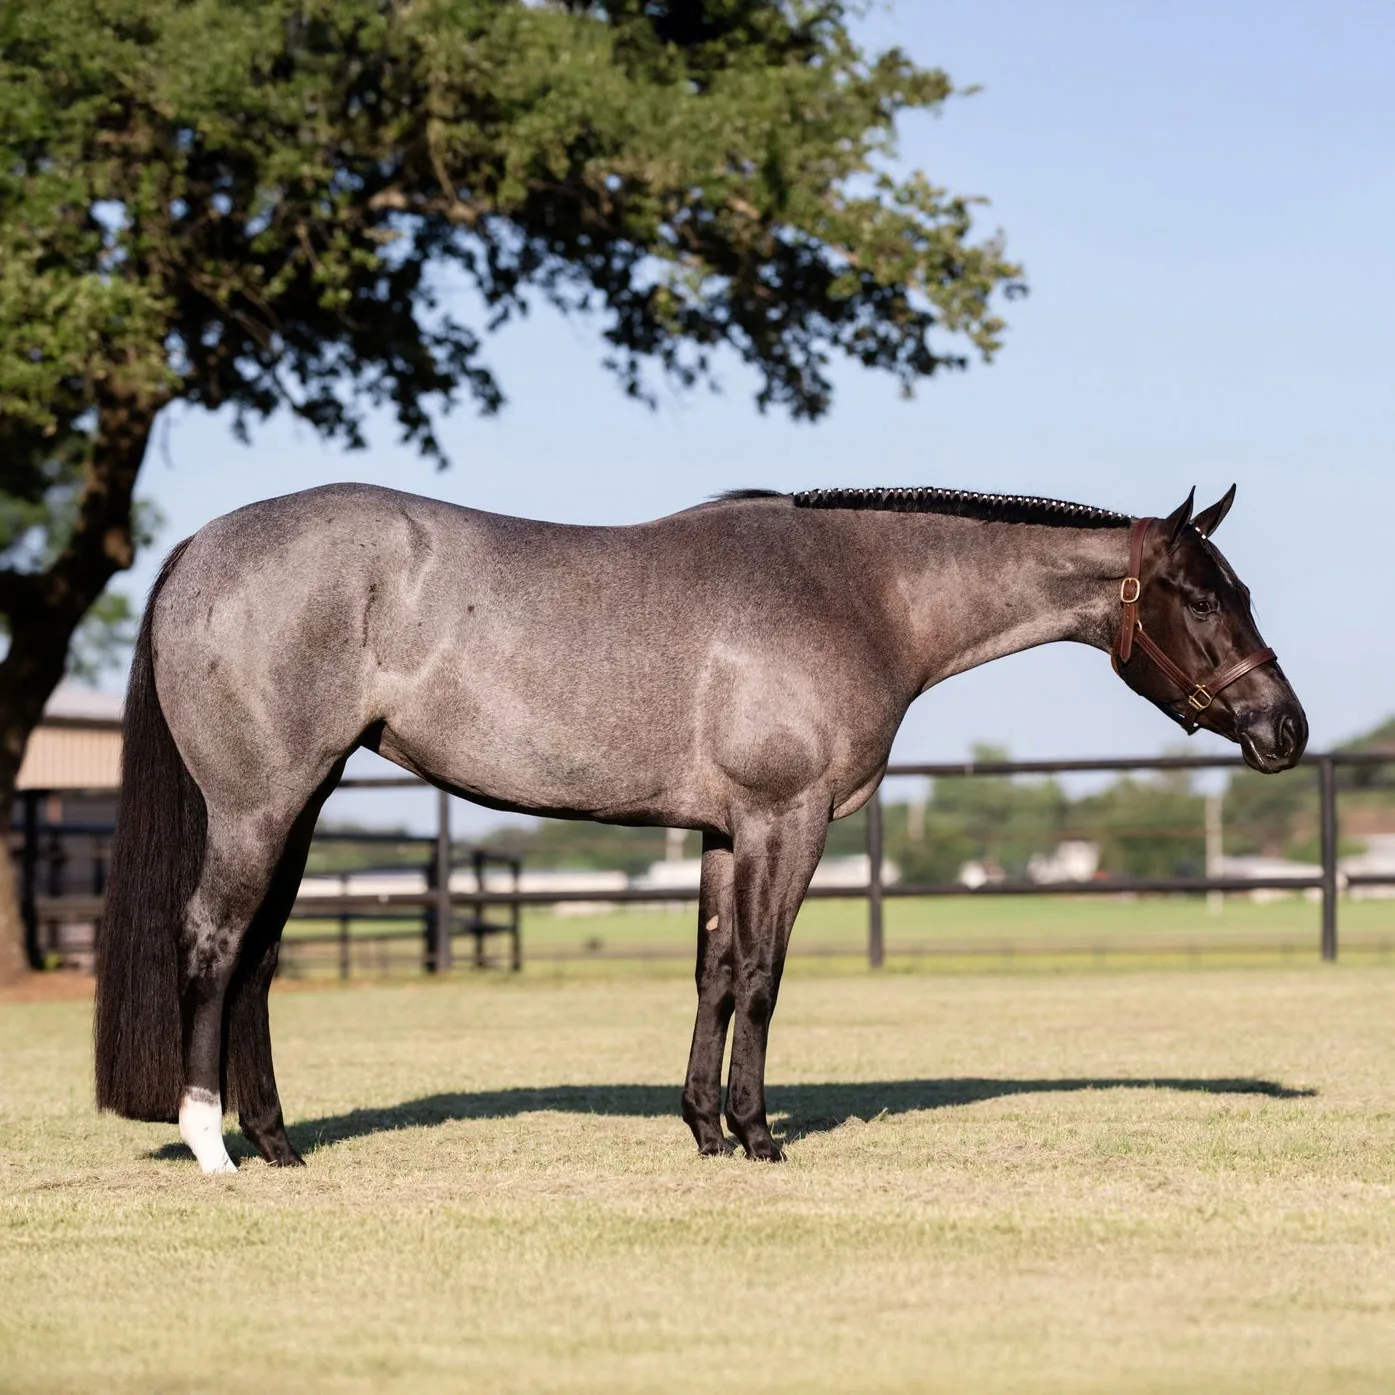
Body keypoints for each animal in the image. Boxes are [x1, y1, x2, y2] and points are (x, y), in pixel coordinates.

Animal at [93, 482, 1307, 1172]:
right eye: (1205, 596)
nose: (1283, 727)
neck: (859, 588)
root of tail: (200, 545)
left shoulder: (727, 833)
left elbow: (715, 971)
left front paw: (704, 1128)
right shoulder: (788, 819)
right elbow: (763, 974)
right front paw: (761, 1137)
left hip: (301, 805)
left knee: (256, 961)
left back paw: (279, 1145)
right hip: (260, 805)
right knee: (213, 944)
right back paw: (210, 1144)